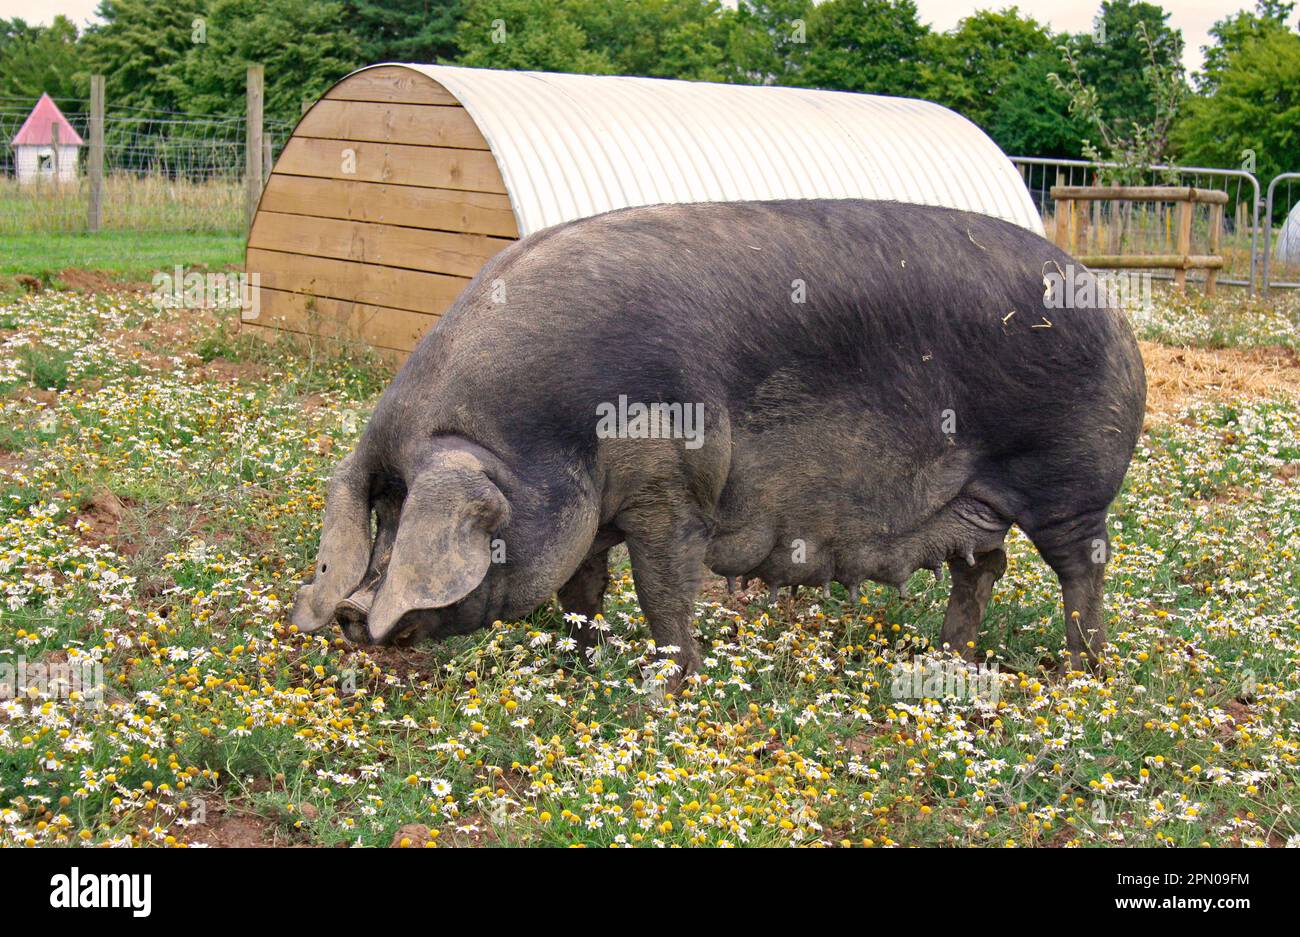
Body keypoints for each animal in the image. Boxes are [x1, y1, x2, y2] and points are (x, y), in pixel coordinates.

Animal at [290, 198, 1146, 686]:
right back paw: (951, 658)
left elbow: (664, 592)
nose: (352, 611)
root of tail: (1111, 303)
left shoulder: (670, 491)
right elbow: (581, 595)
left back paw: (1079, 672)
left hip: (1072, 482)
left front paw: (672, 690)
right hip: (974, 501)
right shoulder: (592, 516)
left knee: (1082, 570)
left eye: (414, 515)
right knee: (985, 566)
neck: (541, 432)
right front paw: (576, 670)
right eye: (383, 511)